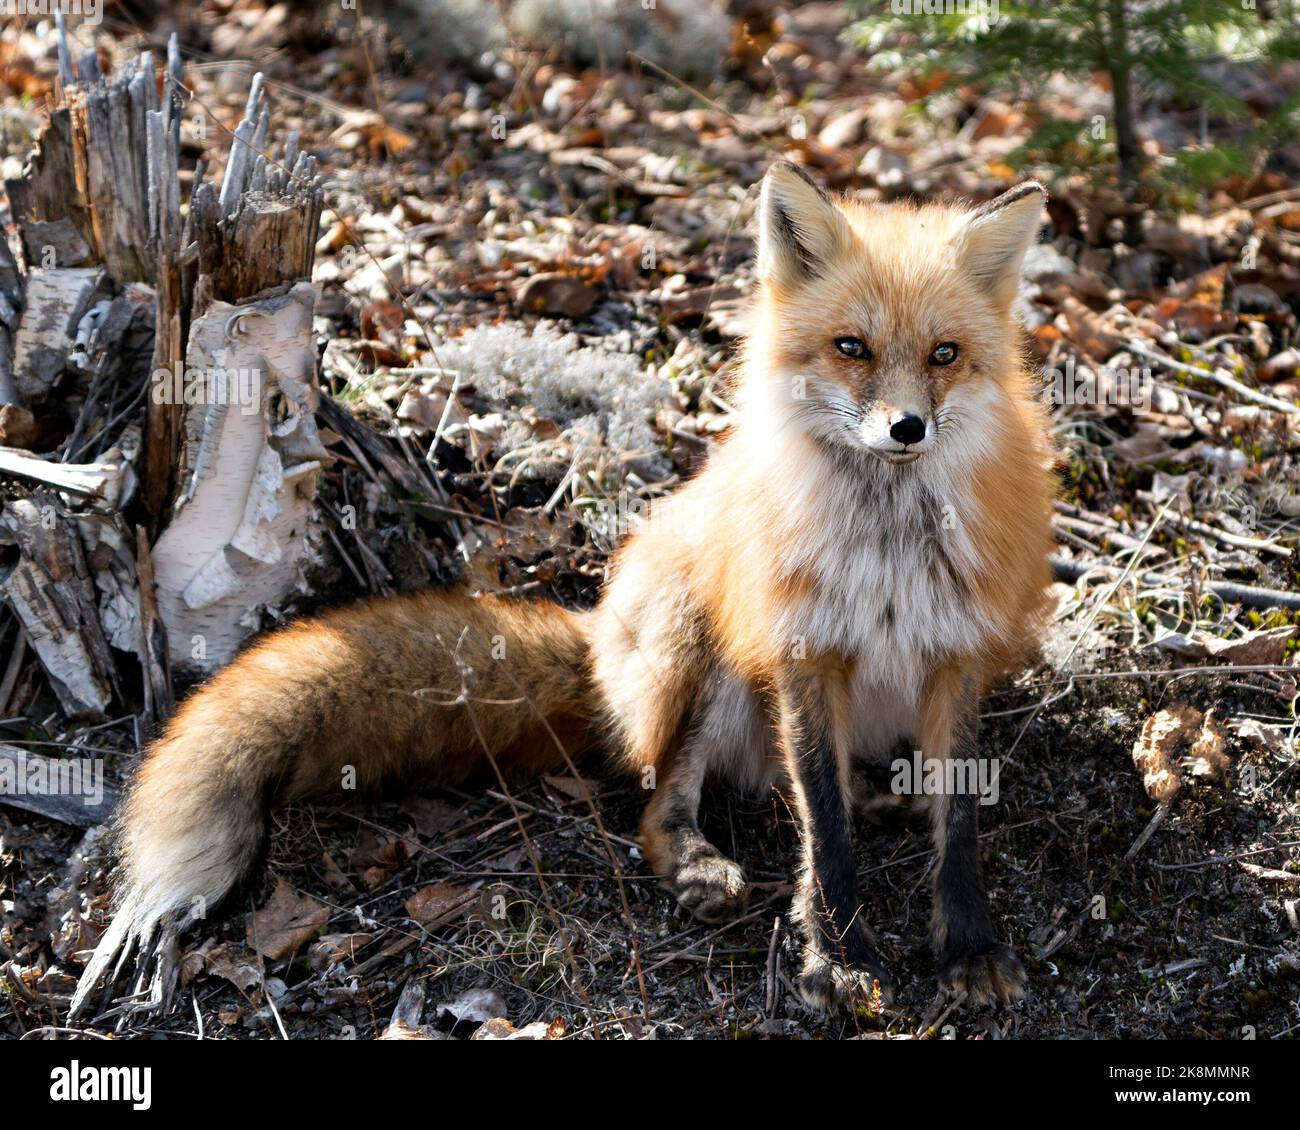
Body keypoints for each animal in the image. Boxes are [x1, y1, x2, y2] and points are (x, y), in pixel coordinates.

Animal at [69, 162, 1056, 1022]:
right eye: (853, 347)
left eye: (944, 355)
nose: (906, 428)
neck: (885, 551)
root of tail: (597, 636)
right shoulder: (802, 654)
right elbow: (824, 830)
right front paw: (840, 958)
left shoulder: (956, 657)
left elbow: (956, 825)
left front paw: (967, 947)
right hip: (698, 642)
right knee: (666, 797)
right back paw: (698, 862)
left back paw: (885, 794)